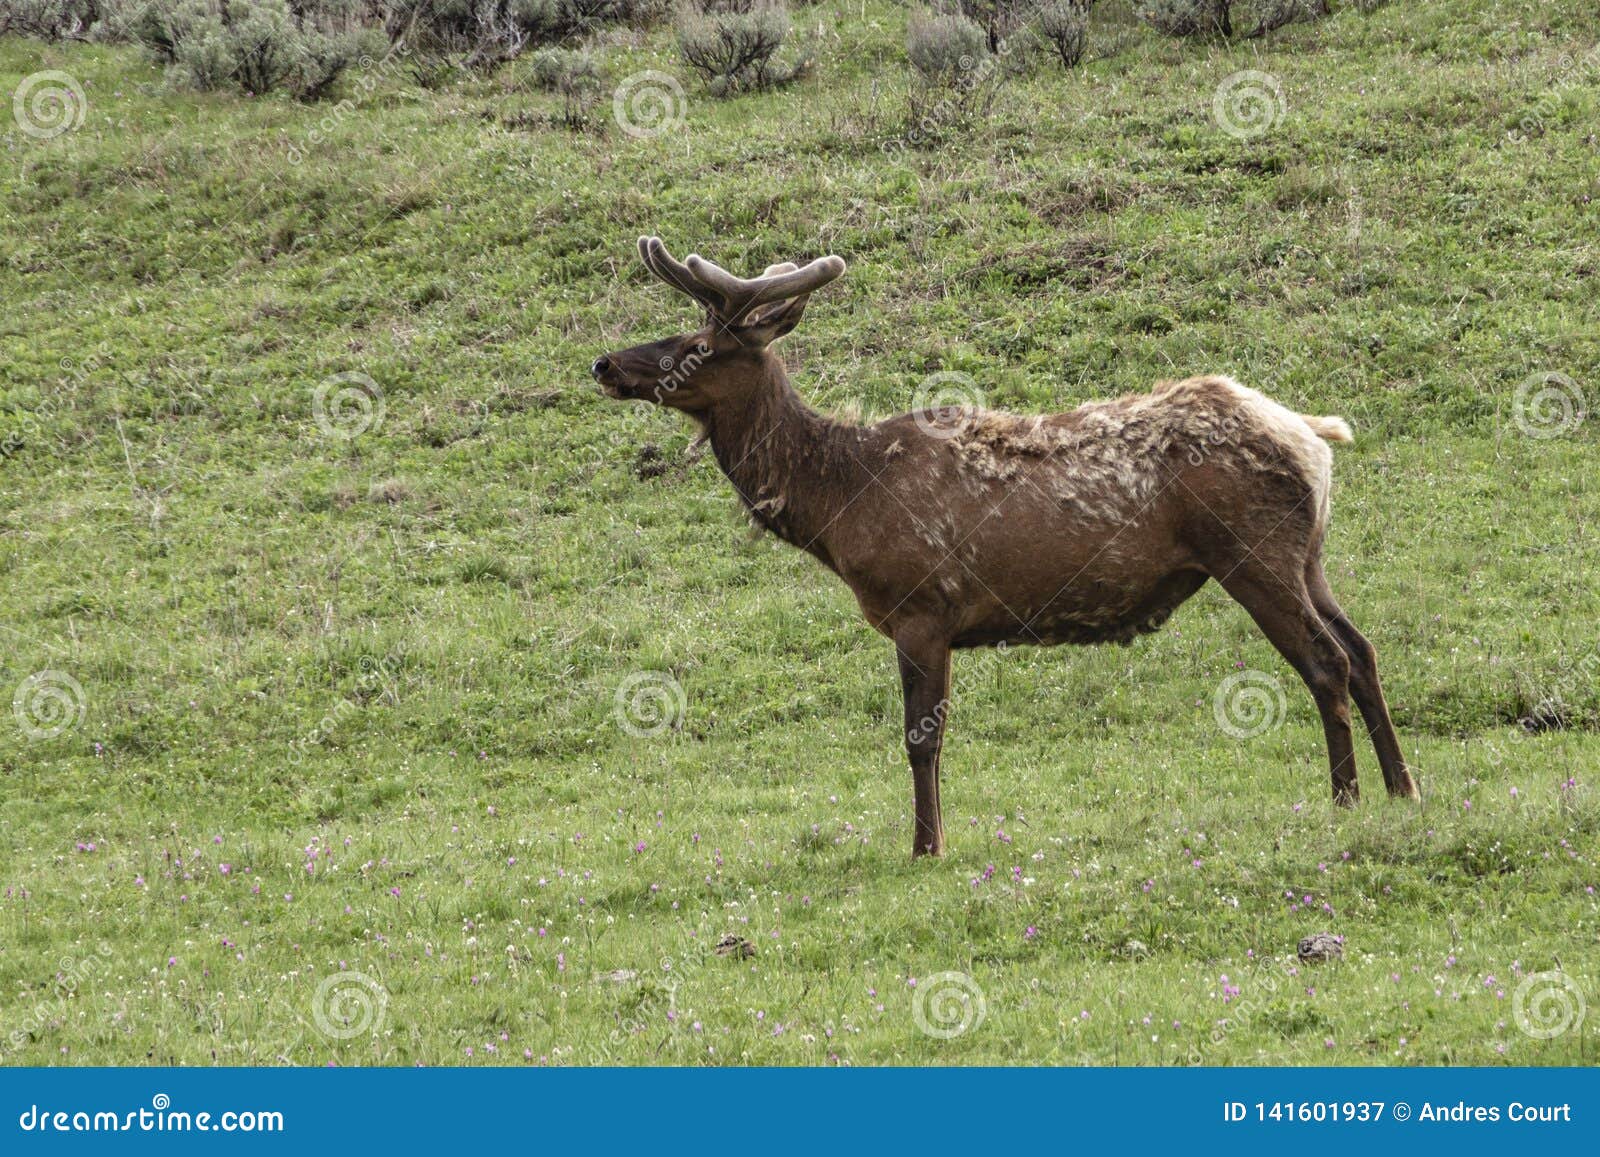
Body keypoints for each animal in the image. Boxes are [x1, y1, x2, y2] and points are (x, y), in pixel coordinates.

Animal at [592, 237, 1421, 858]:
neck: (840, 504)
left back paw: (1346, 799)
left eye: (698, 344)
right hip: (1308, 555)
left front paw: (927, 846)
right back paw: (1402, 787)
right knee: (1364, 647)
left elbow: (921, 738)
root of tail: (1313, 435)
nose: (604, 363)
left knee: (1327, 660)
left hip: (1253, 552)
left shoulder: (921, 605)